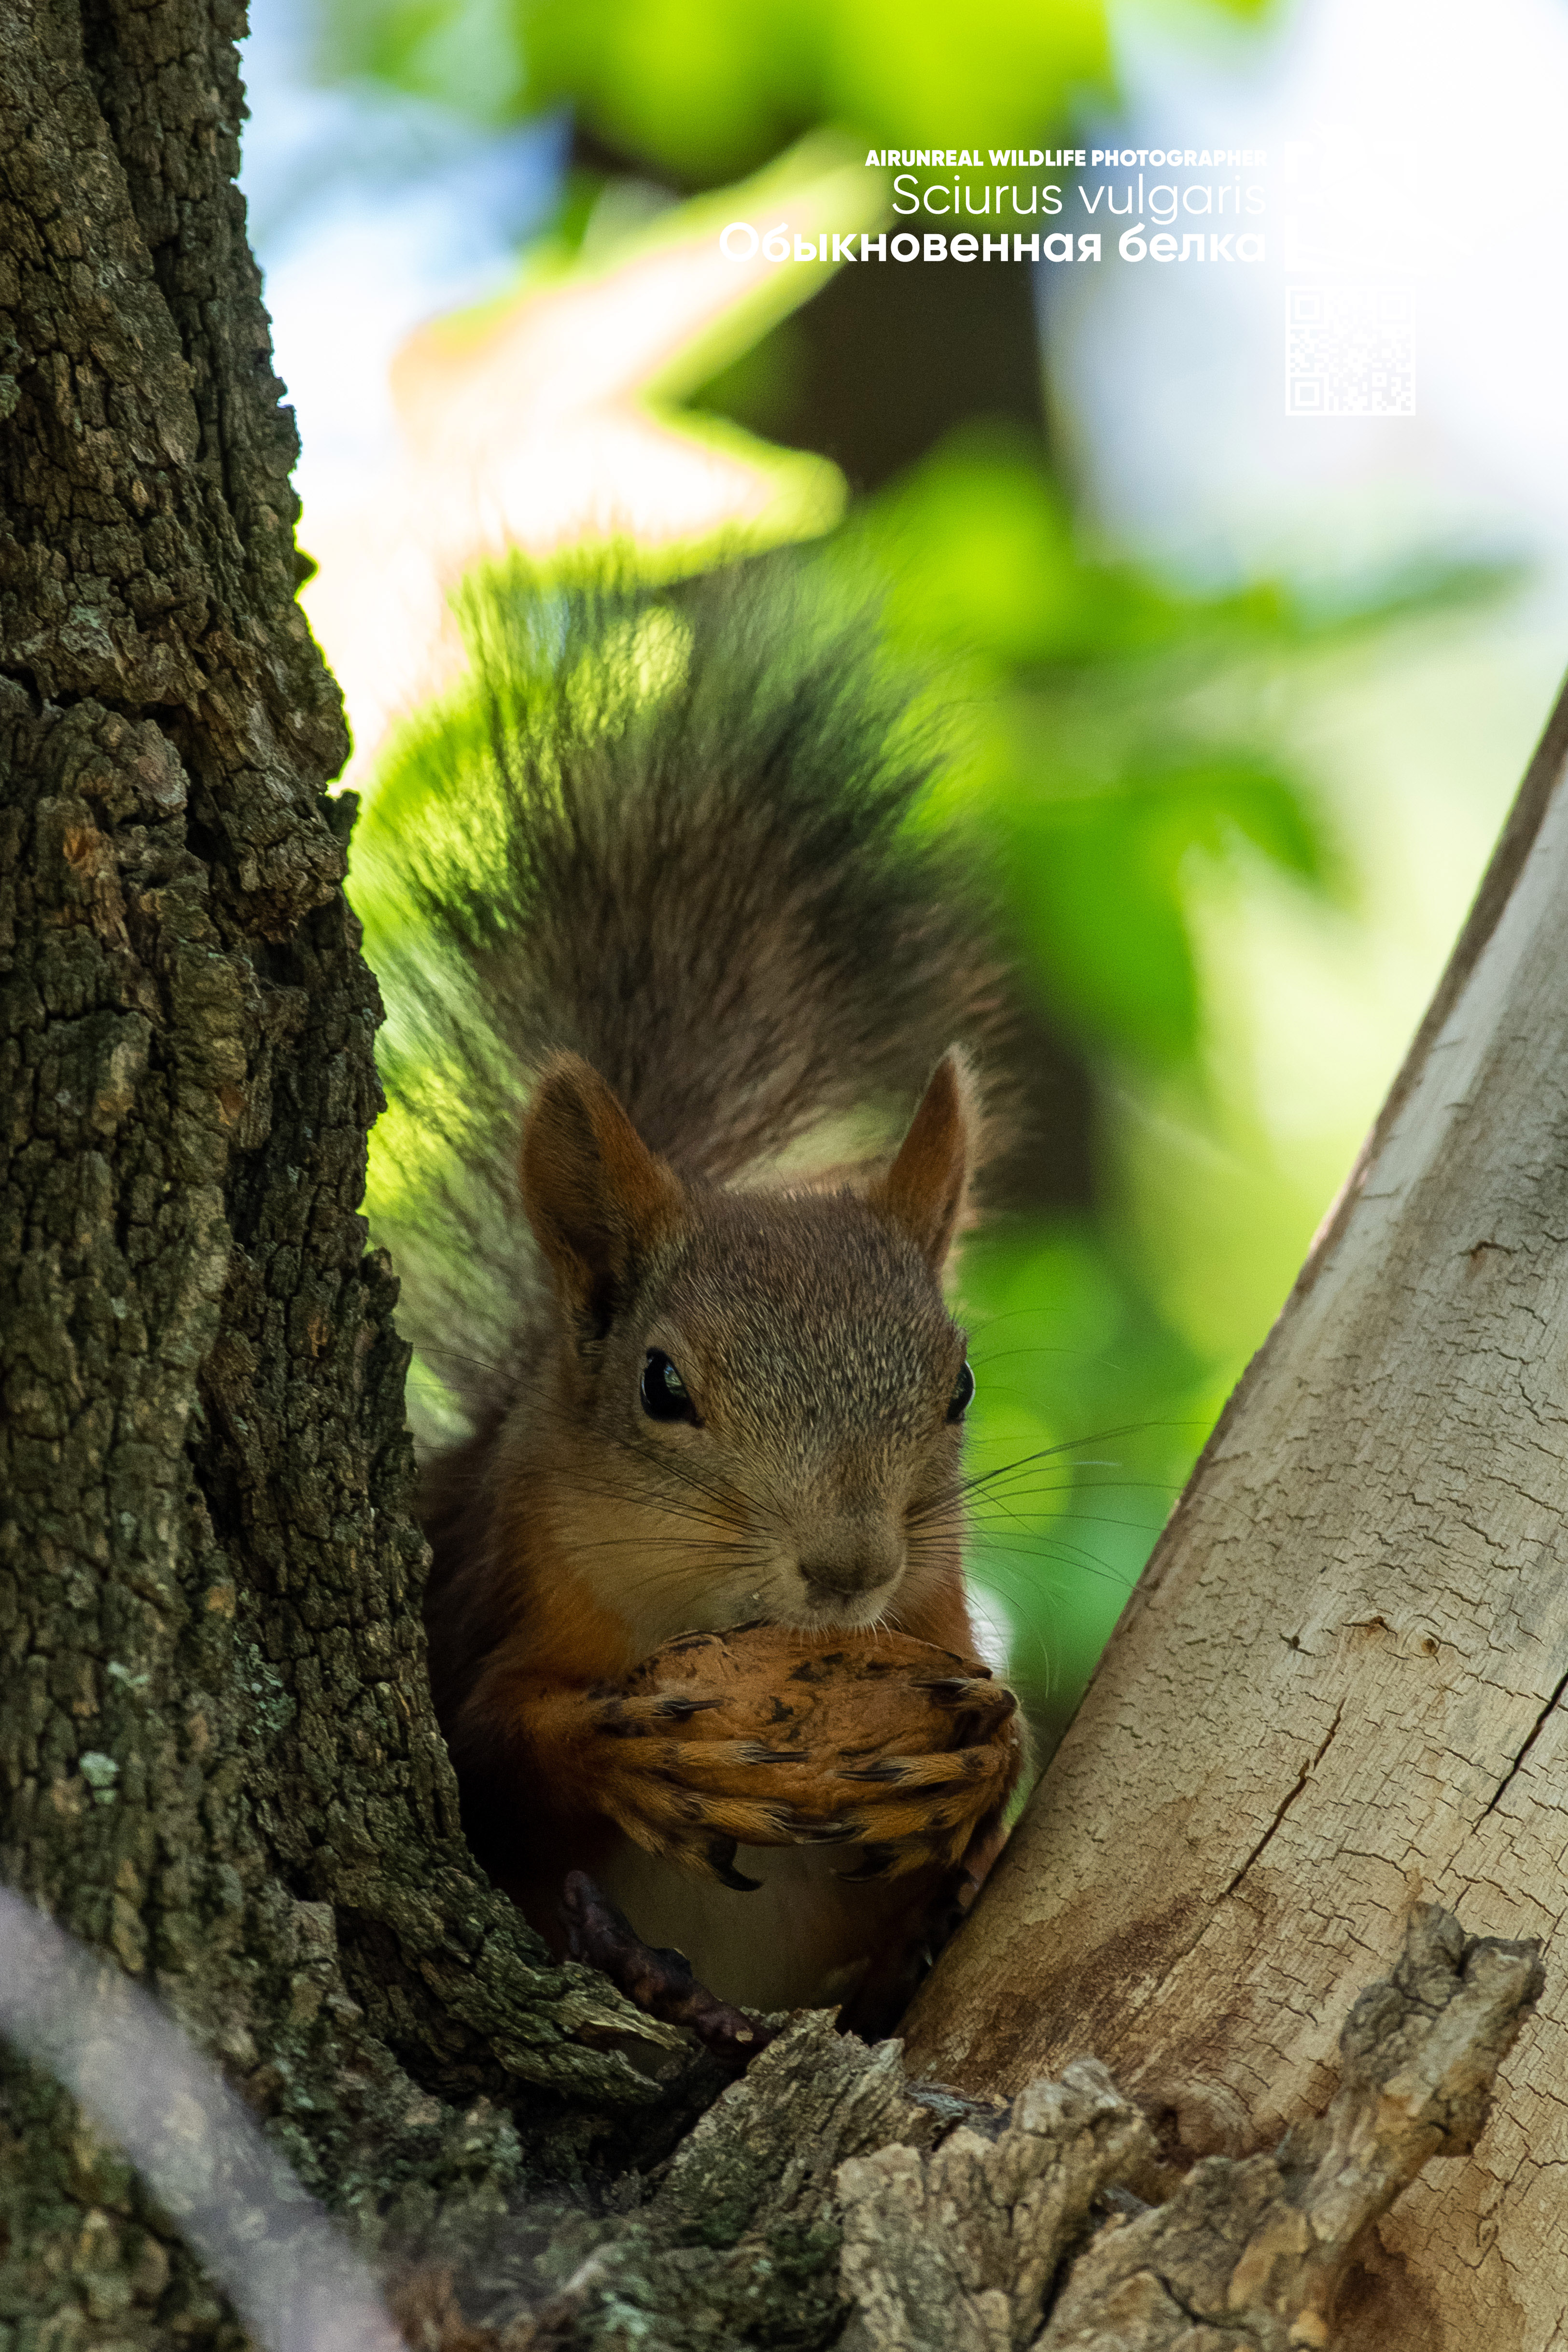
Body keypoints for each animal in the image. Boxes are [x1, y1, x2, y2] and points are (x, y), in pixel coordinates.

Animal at [369, 560, 1029, 2032]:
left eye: (960, 1383)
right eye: (662, 1386)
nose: (850, 1571)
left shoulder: (938, 1622)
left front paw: (984, 1769)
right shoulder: (496, 1600)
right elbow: (491, 1745)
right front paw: (629, 1760)